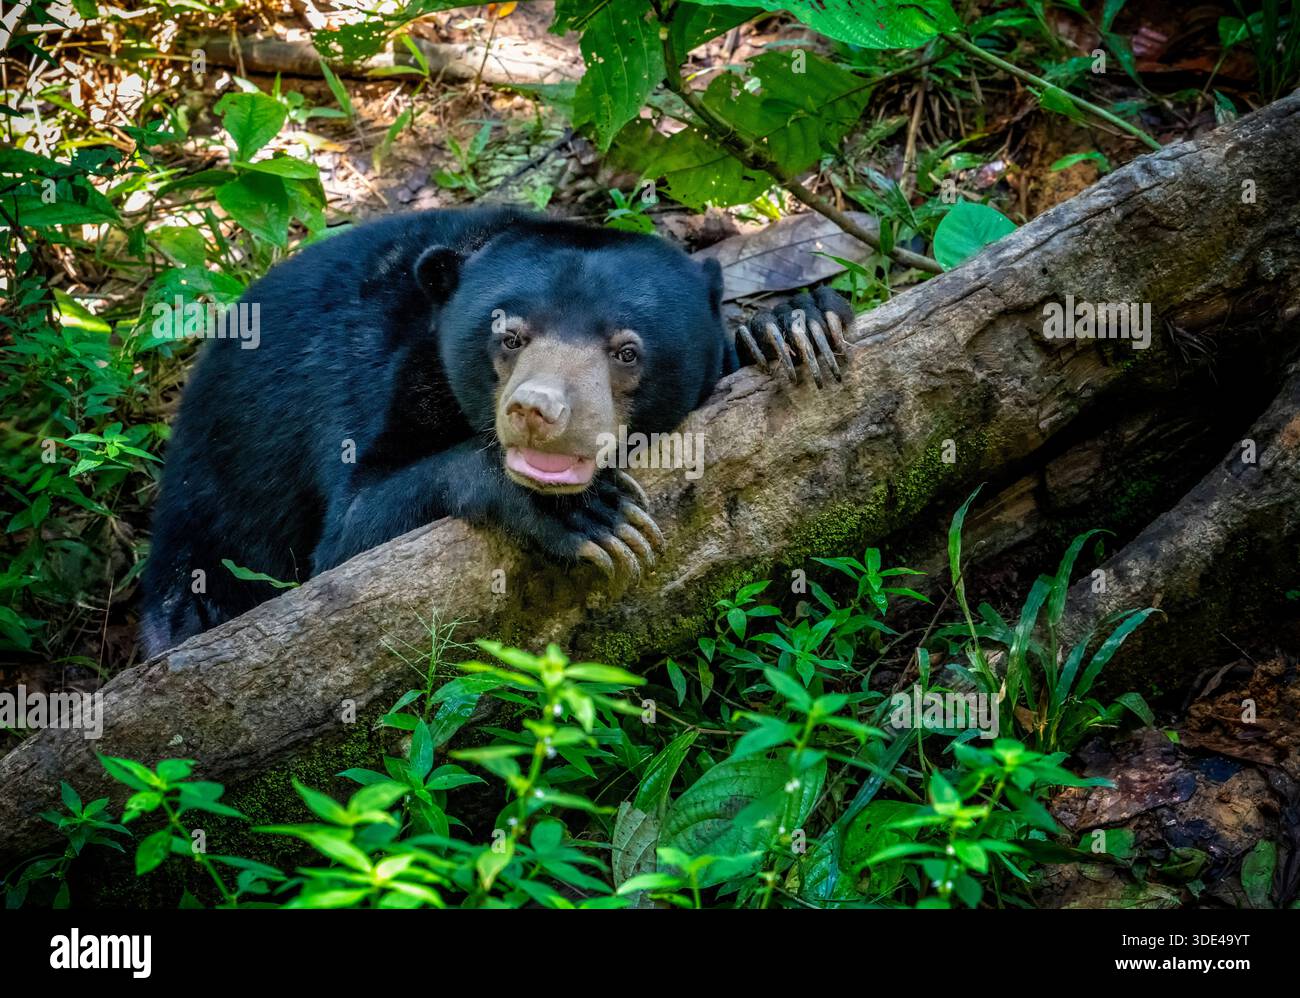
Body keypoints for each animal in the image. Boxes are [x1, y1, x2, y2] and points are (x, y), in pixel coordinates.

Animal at [139, 206, 854, 655]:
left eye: (626, 351)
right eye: (509, 336)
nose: (538, 410)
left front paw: (796, 325)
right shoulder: (376, 378)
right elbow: (349, 537)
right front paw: (590, 517)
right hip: (214, 500)